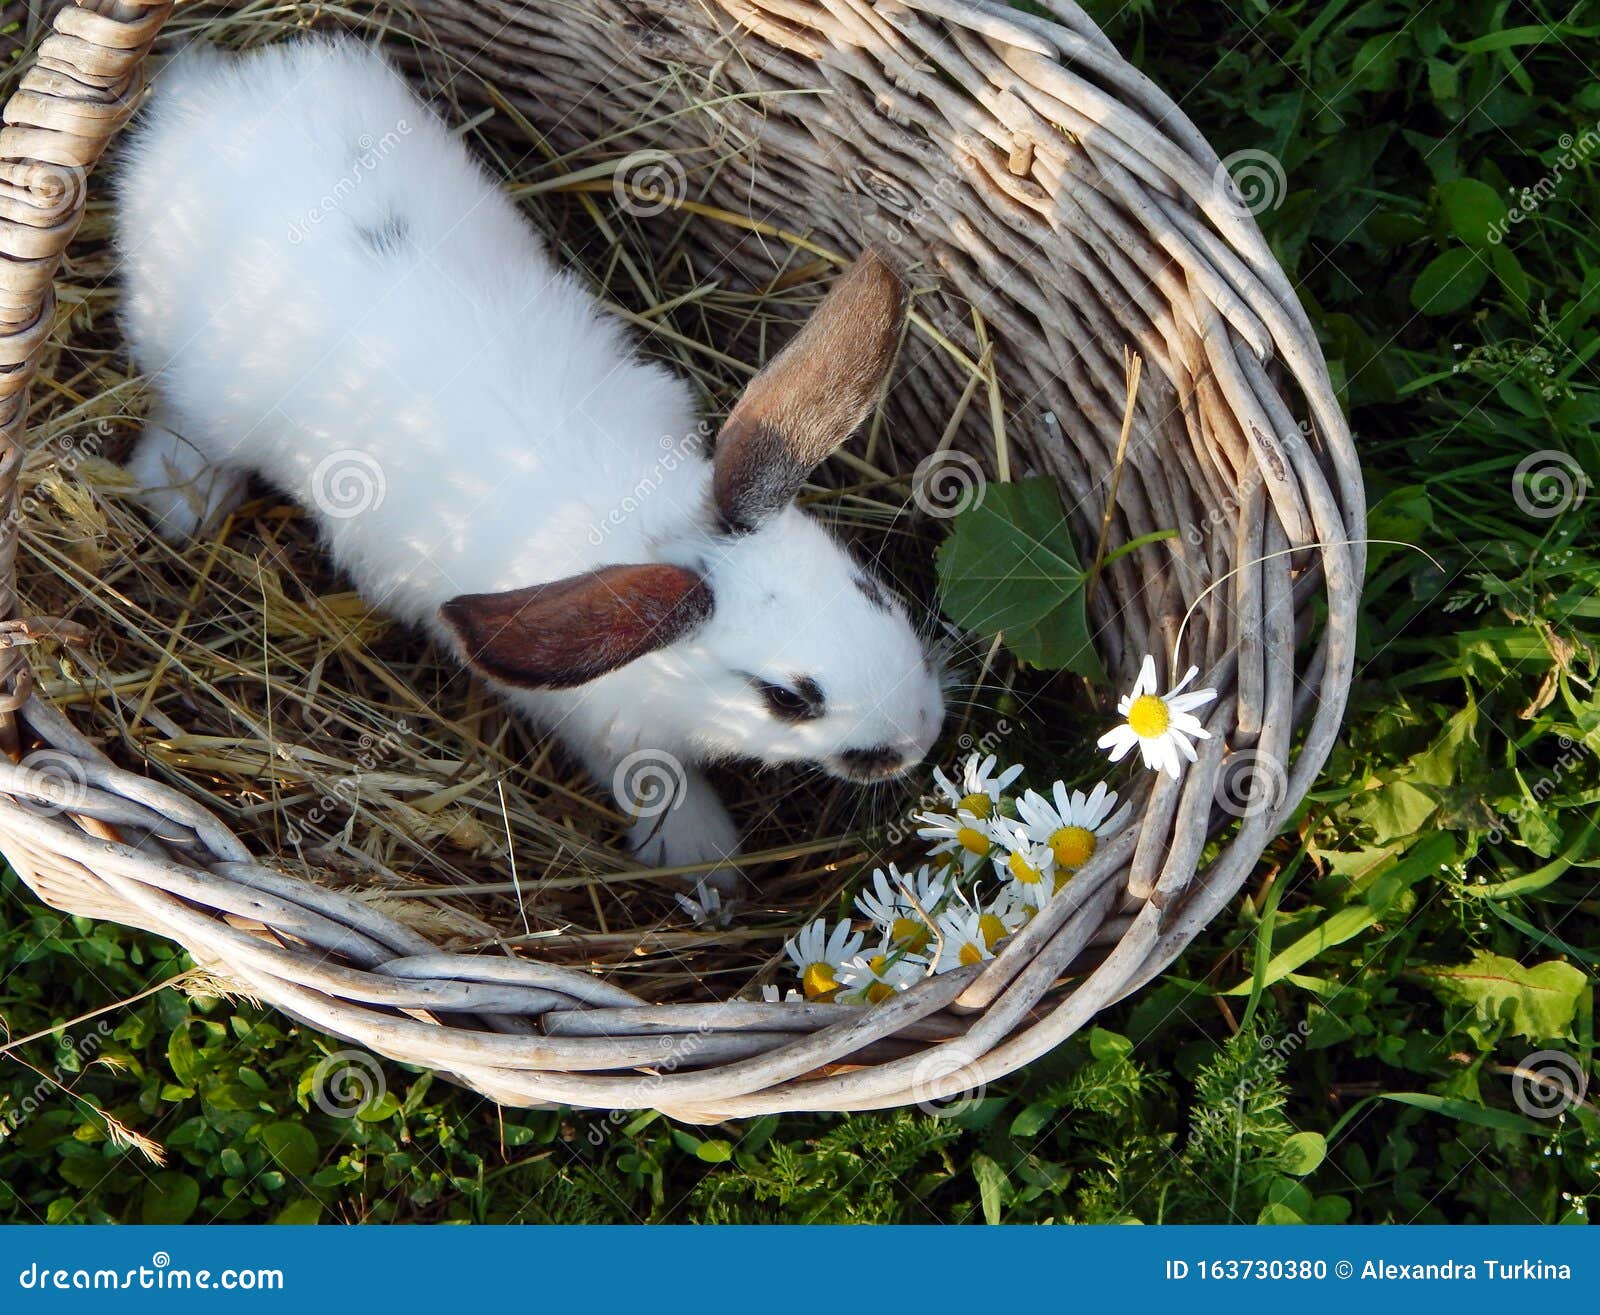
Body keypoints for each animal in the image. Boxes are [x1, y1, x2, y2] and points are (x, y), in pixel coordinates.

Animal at [115, 38, 946, 891]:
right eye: (787, 698)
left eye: (870, 589)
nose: (920, 734)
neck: (653, 537)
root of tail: (198, 93)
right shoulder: (602, 721)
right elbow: (654, 780)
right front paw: (703, 862)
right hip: (198, 381)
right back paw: (178, 496)